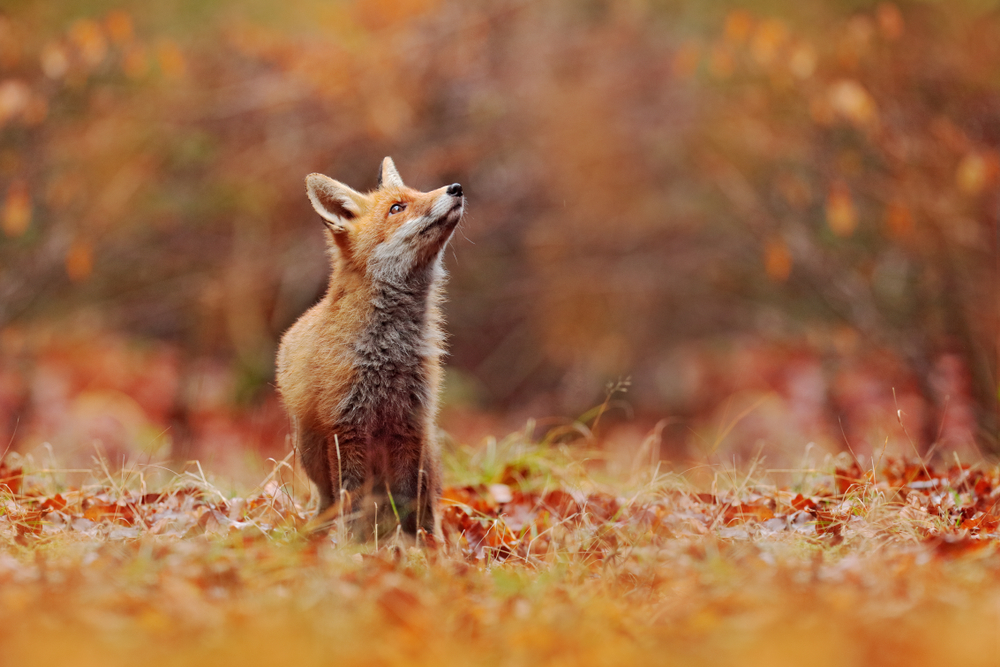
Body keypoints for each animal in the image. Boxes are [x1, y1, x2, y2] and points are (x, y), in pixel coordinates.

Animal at [276, 157, 464, 541]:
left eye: (418, 192)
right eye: (397, 208)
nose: (456, 188)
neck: (389, 354)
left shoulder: (410, 424)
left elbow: (409, 505)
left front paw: (414, 549)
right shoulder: (346, 429)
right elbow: (352, 505)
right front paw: (353, 548)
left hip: (429, 451)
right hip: (311, 451)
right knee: (331, 501)